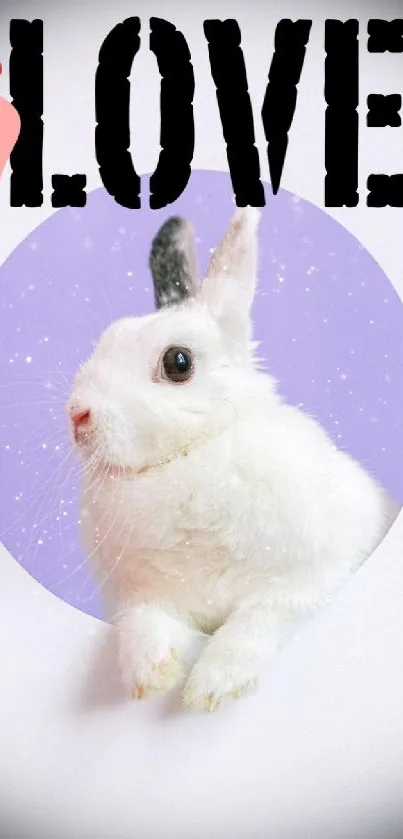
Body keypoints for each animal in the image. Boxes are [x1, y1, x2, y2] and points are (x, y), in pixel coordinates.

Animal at [68, 207, 398, 712]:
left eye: (178, 362)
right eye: (108, 338)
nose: (77, 414)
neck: (190, 456)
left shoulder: (311, 577)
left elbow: (256, 623)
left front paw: (211, 687)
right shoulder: (141, 596)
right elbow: (144, 624)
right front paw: (149, 675)